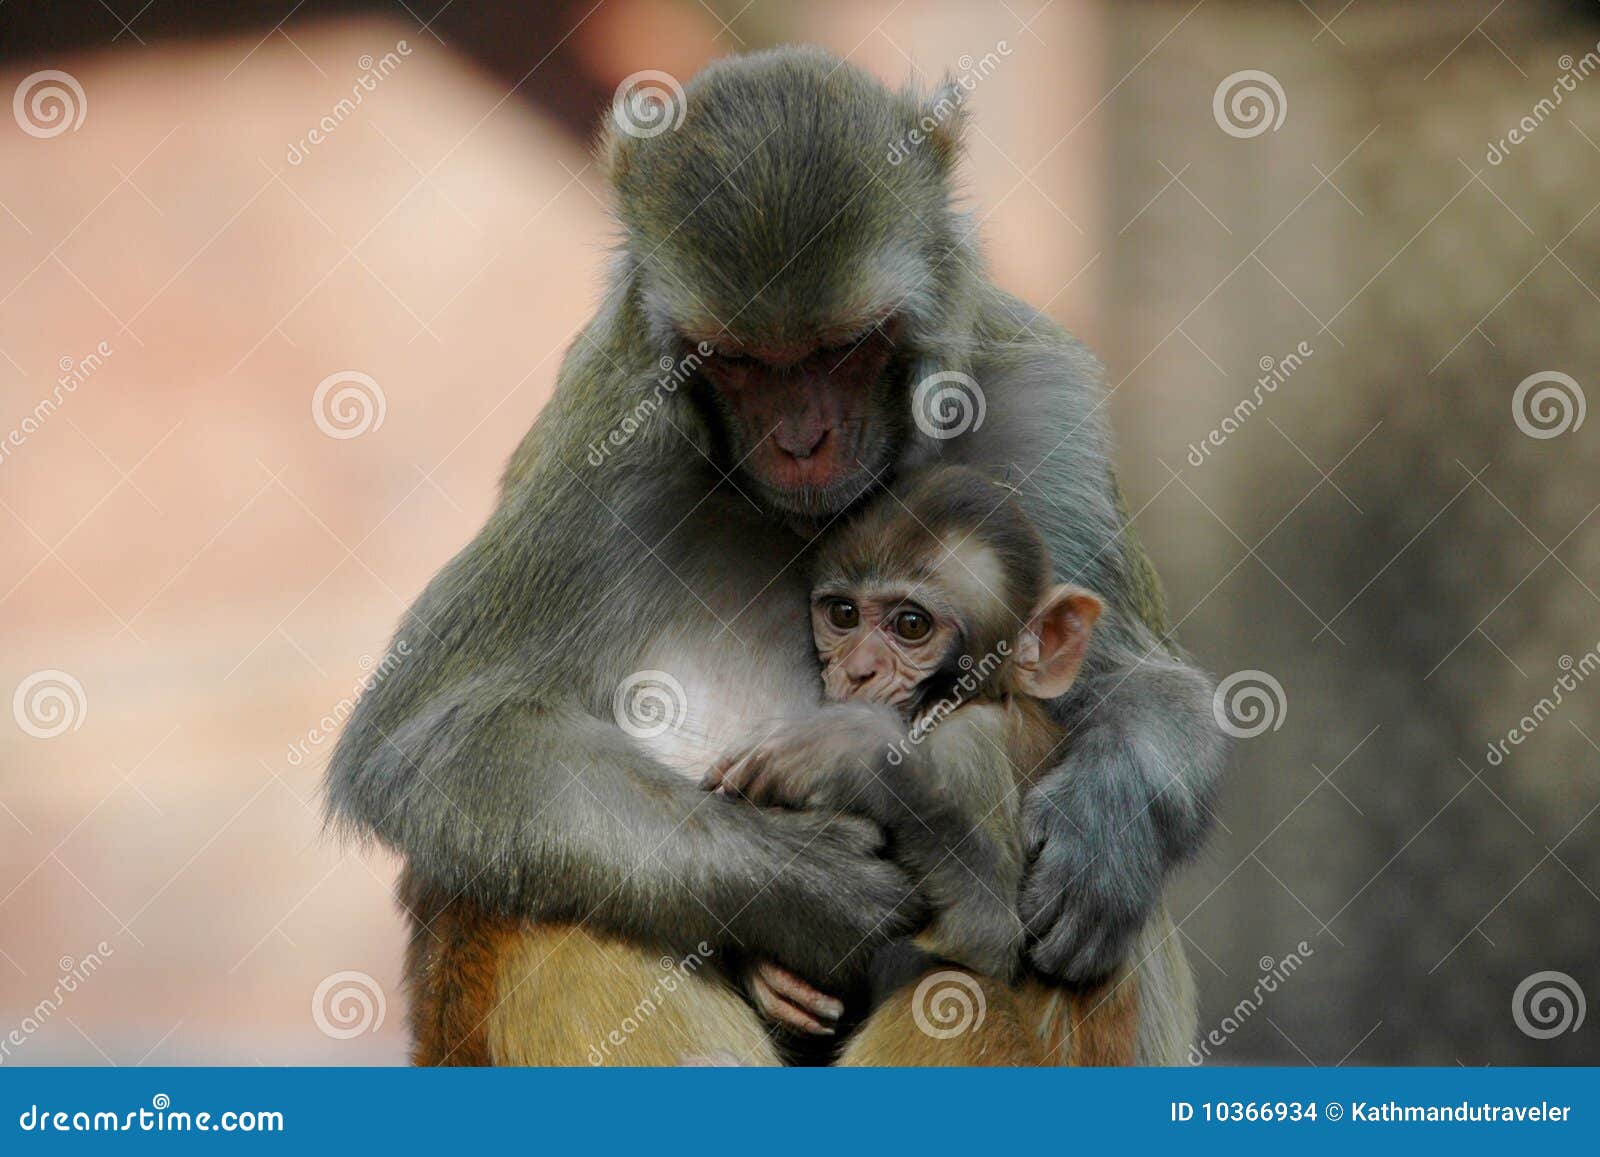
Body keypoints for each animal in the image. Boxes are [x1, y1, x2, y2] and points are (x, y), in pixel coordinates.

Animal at [705, 464, 1145, 1064]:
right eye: (843, 614)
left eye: (911, 625)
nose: (858, 671)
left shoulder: (970, 748)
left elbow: (984, 935)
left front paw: (855, 753)